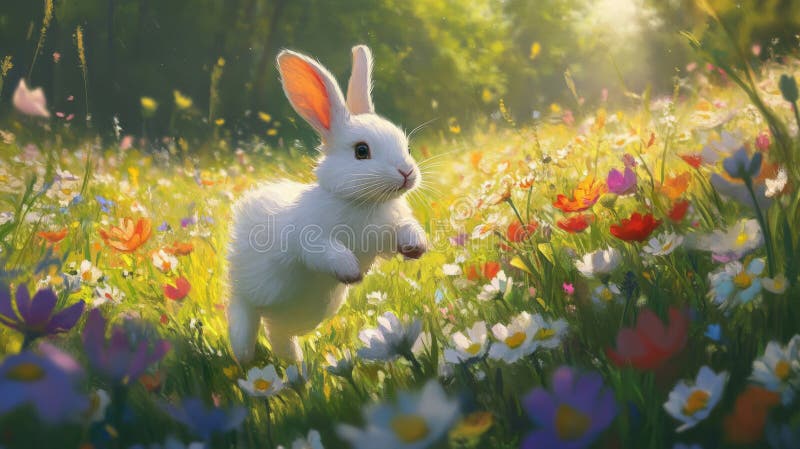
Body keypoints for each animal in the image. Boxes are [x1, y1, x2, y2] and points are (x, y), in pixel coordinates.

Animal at [227, 45, 428, 363]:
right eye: (361, 151)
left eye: (406, 147)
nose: (407, 173)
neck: (363, 202)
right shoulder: (310, 240)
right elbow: (327, 252)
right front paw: (351, 272)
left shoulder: (389, 232)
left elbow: (406, 230)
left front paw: (416, 247)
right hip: (246, 298)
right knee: (244, 318)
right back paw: (248, 360)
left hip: (290, 321)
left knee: (279, 336)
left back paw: (298, 368)